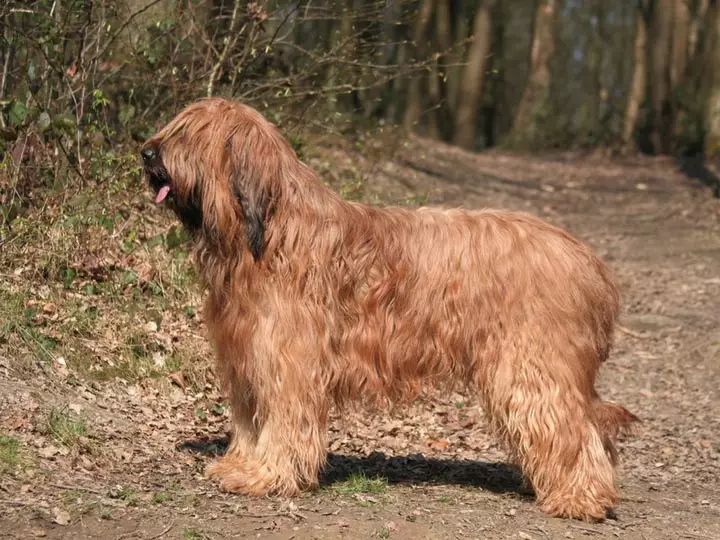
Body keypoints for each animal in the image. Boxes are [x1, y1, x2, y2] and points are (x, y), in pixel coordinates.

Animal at [141, 98, 636, 524]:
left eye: (189, 134)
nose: (145, 153)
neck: (269, 231)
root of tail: (589, 262)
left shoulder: (288, 361)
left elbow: (284, 418)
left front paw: (268, 475)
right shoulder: (245, 355)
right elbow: (248, 418)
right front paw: (241, 465)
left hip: (533, 366)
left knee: (570, 427)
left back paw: (581, 497)